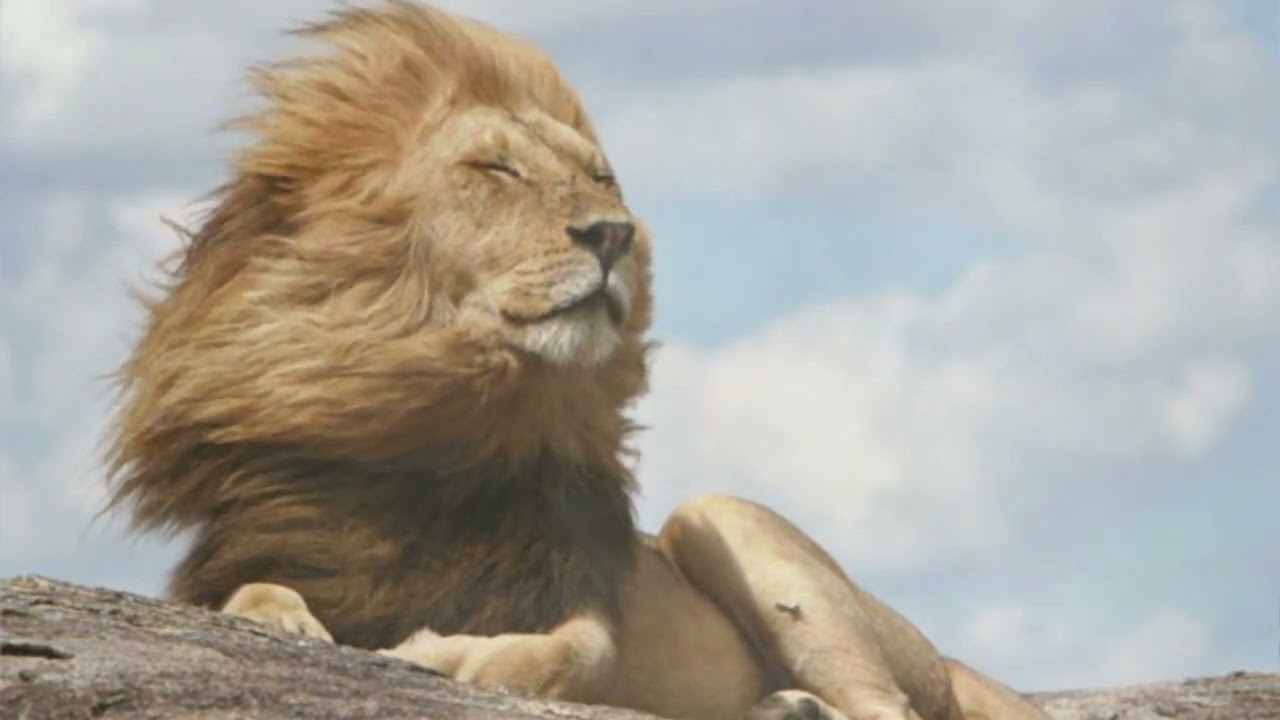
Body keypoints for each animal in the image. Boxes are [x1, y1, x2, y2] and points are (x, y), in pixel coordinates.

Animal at [102, 3, 1050, 719]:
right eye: (496, 169)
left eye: (602, 180)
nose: (613, 234)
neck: (437, 435)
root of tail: (944, 653)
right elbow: (250, 596)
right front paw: (292, 628)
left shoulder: (582, 599)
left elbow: (573, 655)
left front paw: (445, 657)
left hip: (723, 521)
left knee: (889, 709)